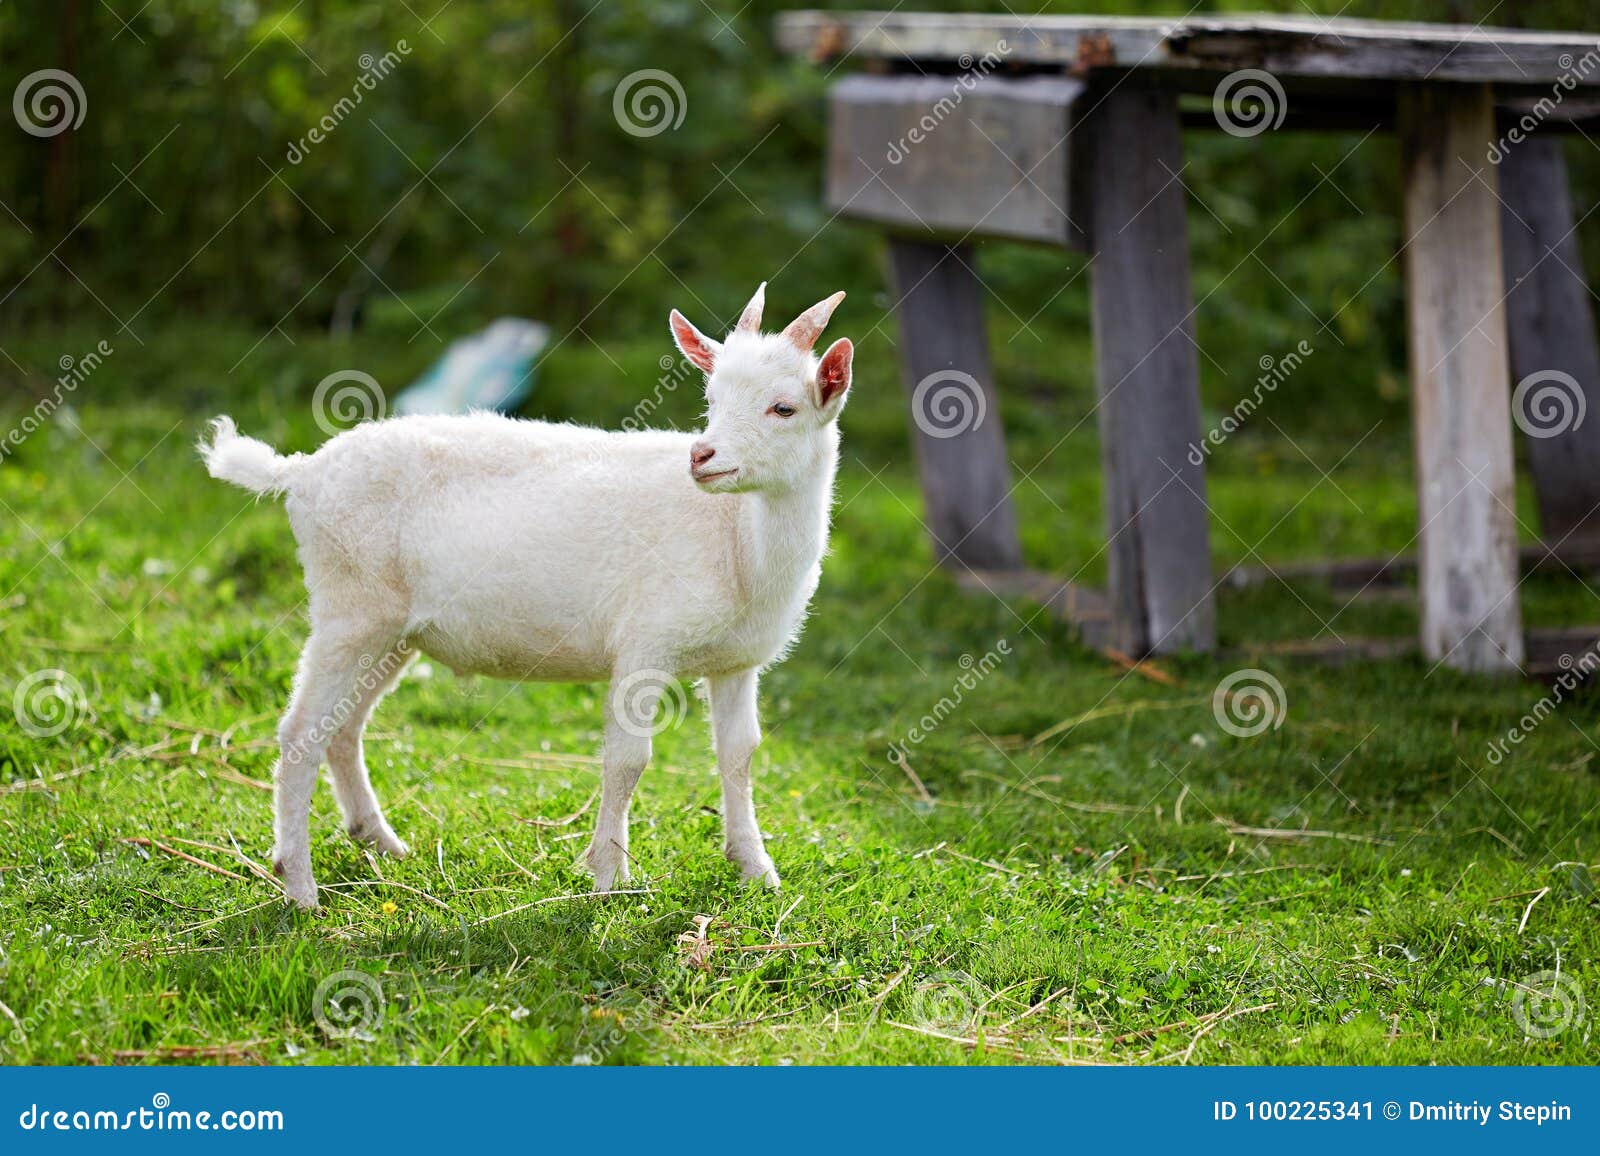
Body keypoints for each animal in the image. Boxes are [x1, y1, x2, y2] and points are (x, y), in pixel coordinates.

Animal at [198, 285, 852, 909]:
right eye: (710, 401)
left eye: (784, 408)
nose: (702, 456)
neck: (737, 540)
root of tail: (300, 471)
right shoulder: (646, 643)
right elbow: (628, 760)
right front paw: (609, 877)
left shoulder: (738, 662)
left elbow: (740, 753)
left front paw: (756, 869)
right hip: (349, 605)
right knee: (301, 732)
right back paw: (300, 887)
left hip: (392, 628)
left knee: (344, 726)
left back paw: (378, 840)